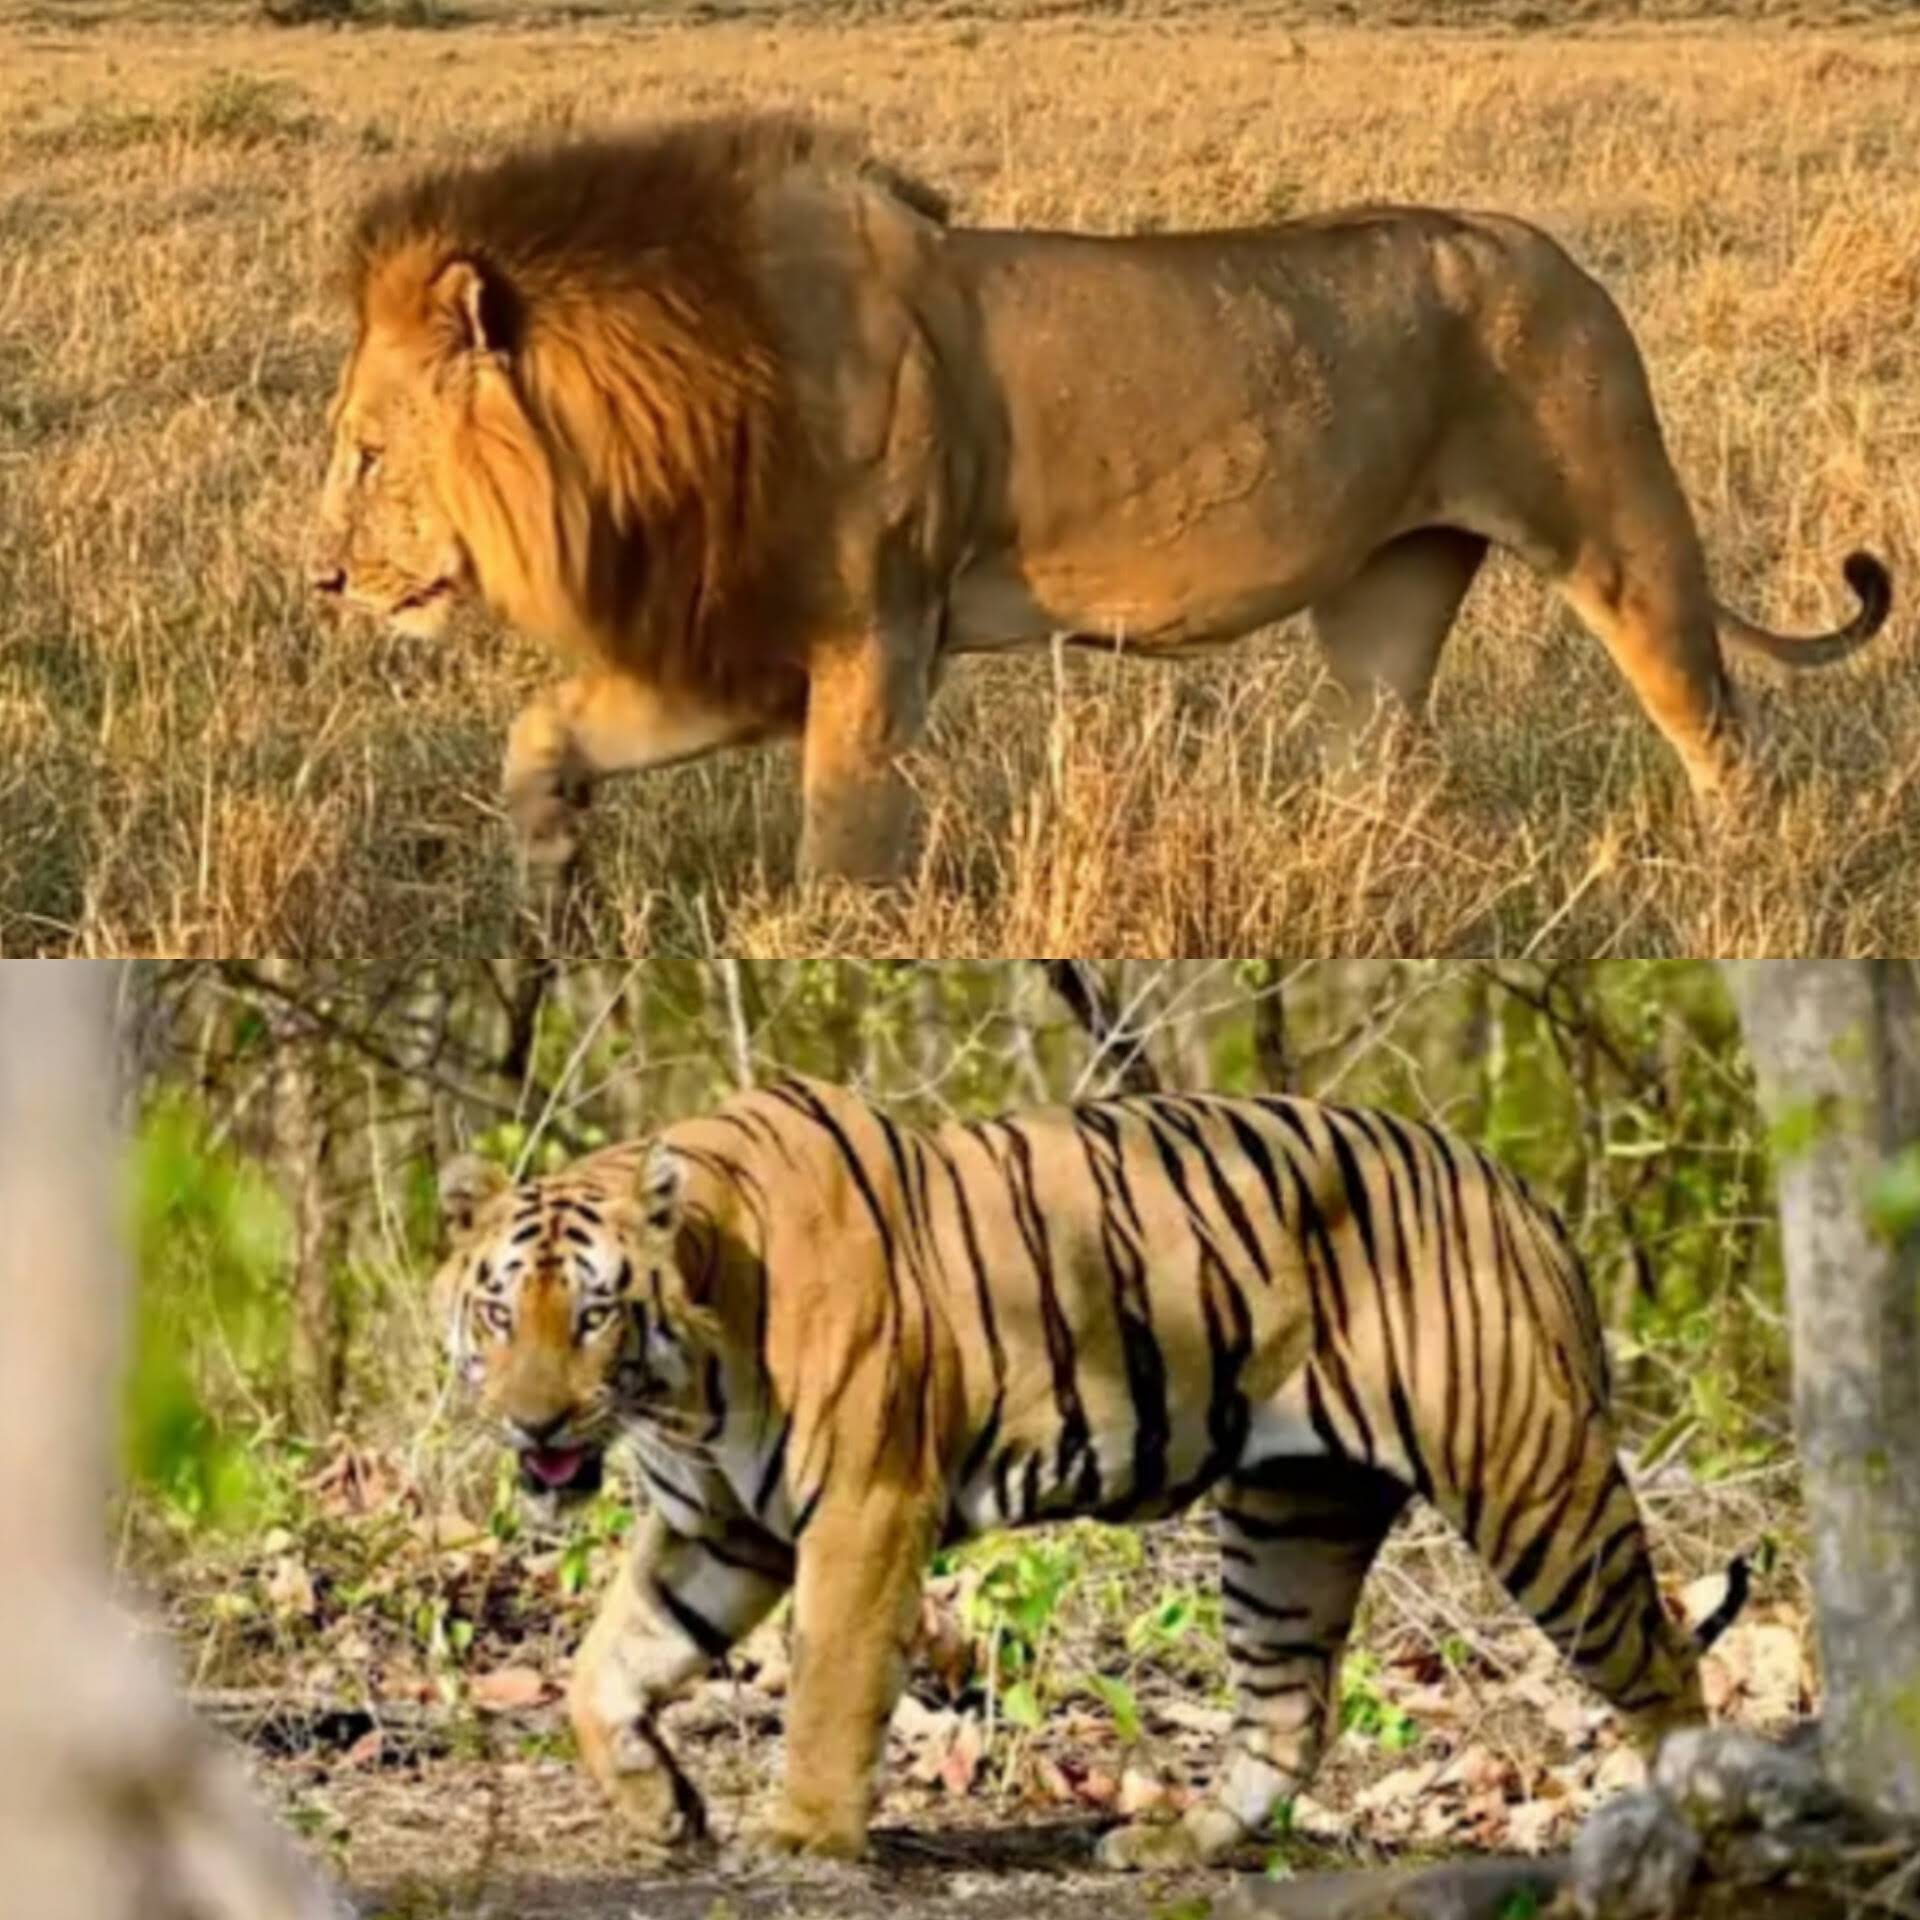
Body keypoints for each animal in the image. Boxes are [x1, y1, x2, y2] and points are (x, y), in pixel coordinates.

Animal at [311, 116, 1891, 890]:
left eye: (368, 453)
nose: (321, 583)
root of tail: (1559, 255)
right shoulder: (755, 647)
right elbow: (547, 726)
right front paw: (548, 873)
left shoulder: (875, 639)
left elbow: (839, 843)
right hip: (1386, 594)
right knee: (1383, 762)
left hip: (1622, 532)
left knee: (1721, 738)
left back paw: (1741, 894)